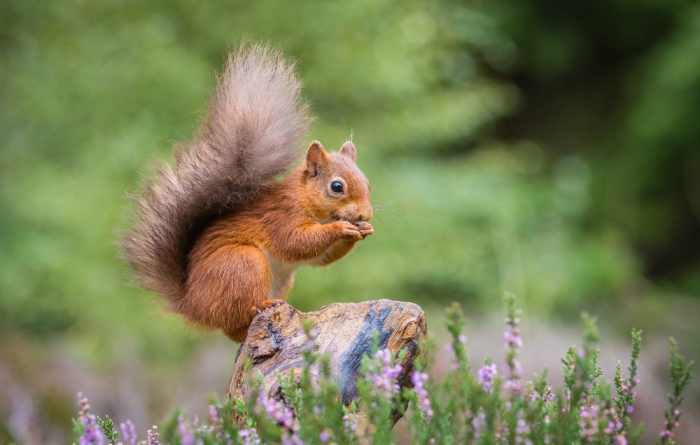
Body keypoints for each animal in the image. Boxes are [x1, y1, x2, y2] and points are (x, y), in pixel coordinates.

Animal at [122, 45, 373, 342]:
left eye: (367, 184)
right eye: (337, 187)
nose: (365, 214)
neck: (306, 200)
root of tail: (194, 305)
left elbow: (320, 258)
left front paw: (363, 230)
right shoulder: (280, 217)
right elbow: (296, 242)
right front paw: (341, 228)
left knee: (233, 330)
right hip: (243, 264)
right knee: (238, 313)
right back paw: (262, 305)